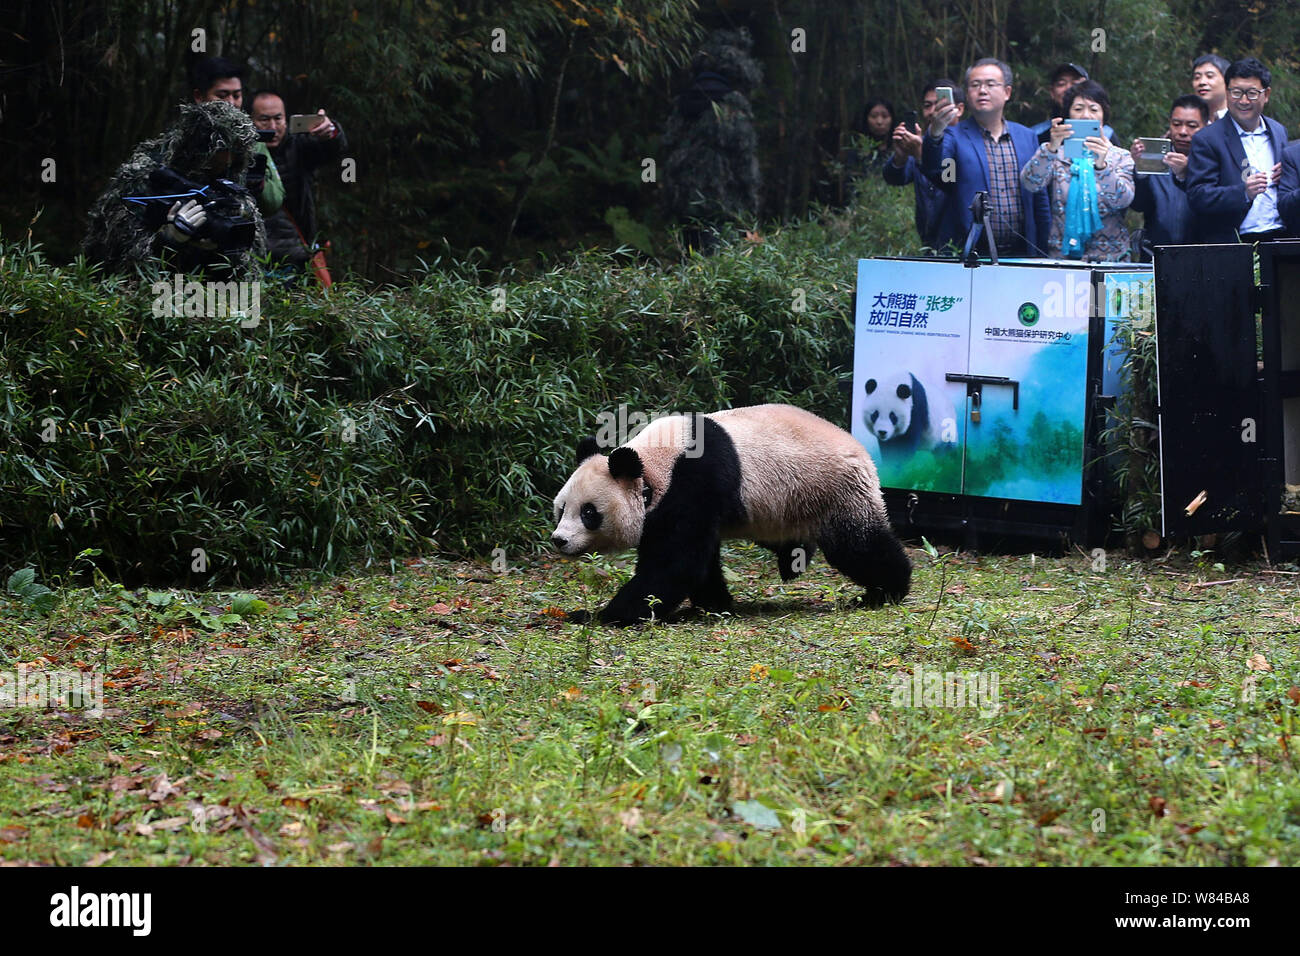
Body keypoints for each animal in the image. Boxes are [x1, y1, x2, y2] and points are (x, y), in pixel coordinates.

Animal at [550, 403, 911, 625]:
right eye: (561, 508)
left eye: (589, 513)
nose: (559, 540)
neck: (654, 464)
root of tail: (863, 453)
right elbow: (698, 559)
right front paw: (715, 604)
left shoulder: (694, 480)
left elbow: (675, 565)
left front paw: (601, 615)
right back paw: (794, 557)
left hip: (834, 491)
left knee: (859, 546)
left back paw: (887, 590)